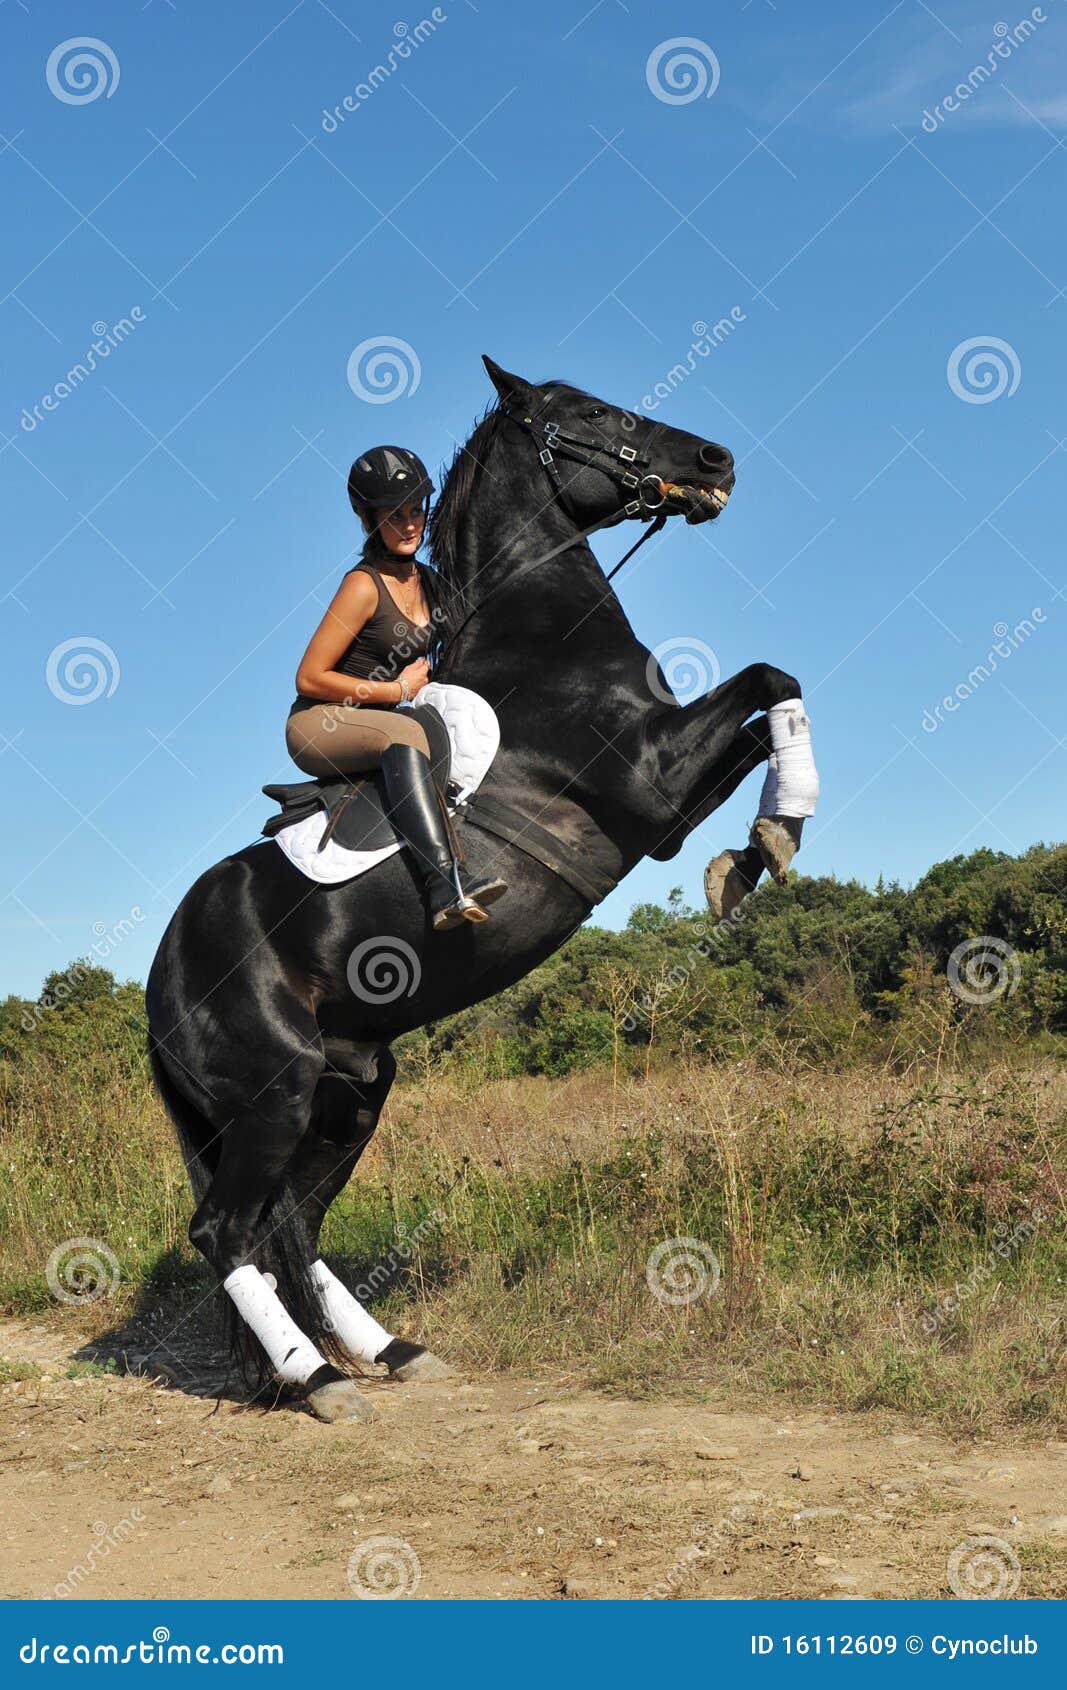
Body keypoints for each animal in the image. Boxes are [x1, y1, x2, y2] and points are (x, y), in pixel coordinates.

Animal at [145, 355, 818, 1422]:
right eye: (592, 413)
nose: (715, 461)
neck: (540, 631)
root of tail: (156, 978)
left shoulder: (664, 810)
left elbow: (763, 714)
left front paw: (755, 851)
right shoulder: (648, 778)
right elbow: (767, 676)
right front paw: (778, 833)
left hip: (351, 1090)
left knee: (290, 1224)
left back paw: (391, 1351)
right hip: (273, 1091)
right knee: (227, 1232)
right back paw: (317, 1379)